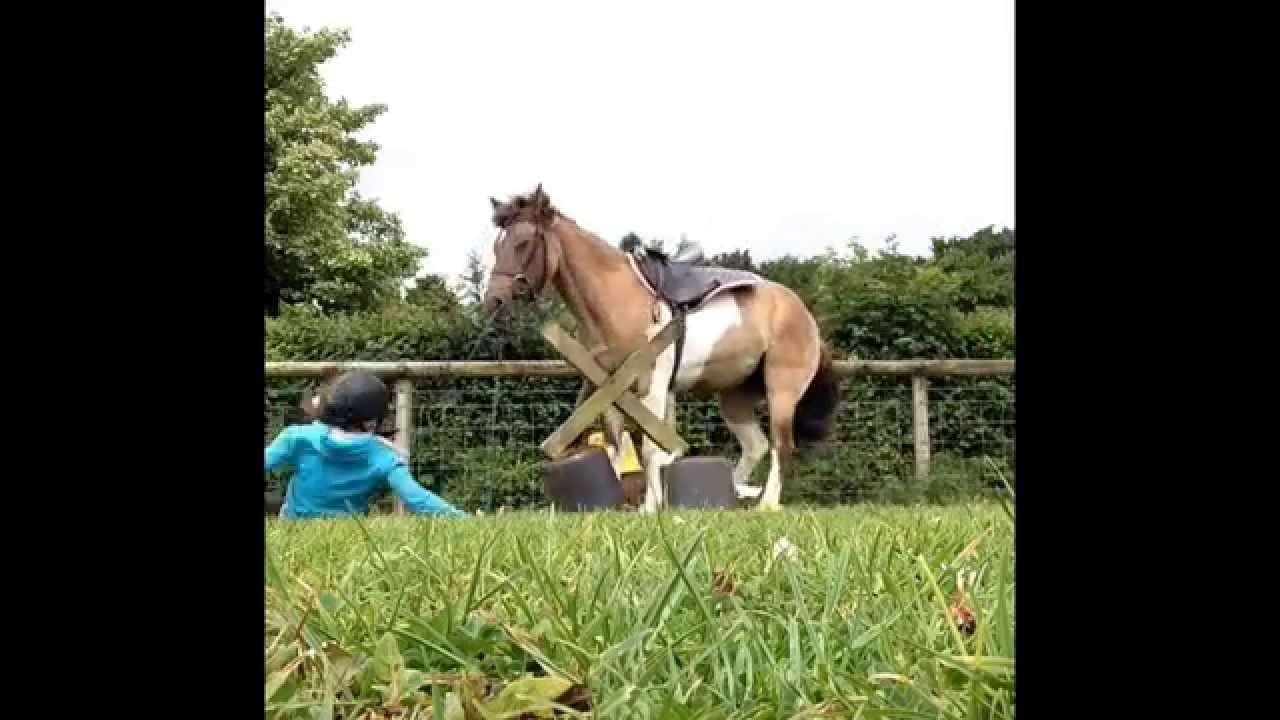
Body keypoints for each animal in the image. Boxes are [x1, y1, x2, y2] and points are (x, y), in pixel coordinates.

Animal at [482, 185, 839, 512]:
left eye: (524, 243)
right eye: (498, 245)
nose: (493, 300)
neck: (616, 297)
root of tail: (803, 313)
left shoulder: (650, 385)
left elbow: (650, 449)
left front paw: (650, 509)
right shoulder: (611, 389)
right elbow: (617, 446)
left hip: (781, 392)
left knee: (781, 444)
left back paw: (766, 504)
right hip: (734, 396)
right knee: (756, 445)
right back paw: (734, 495)